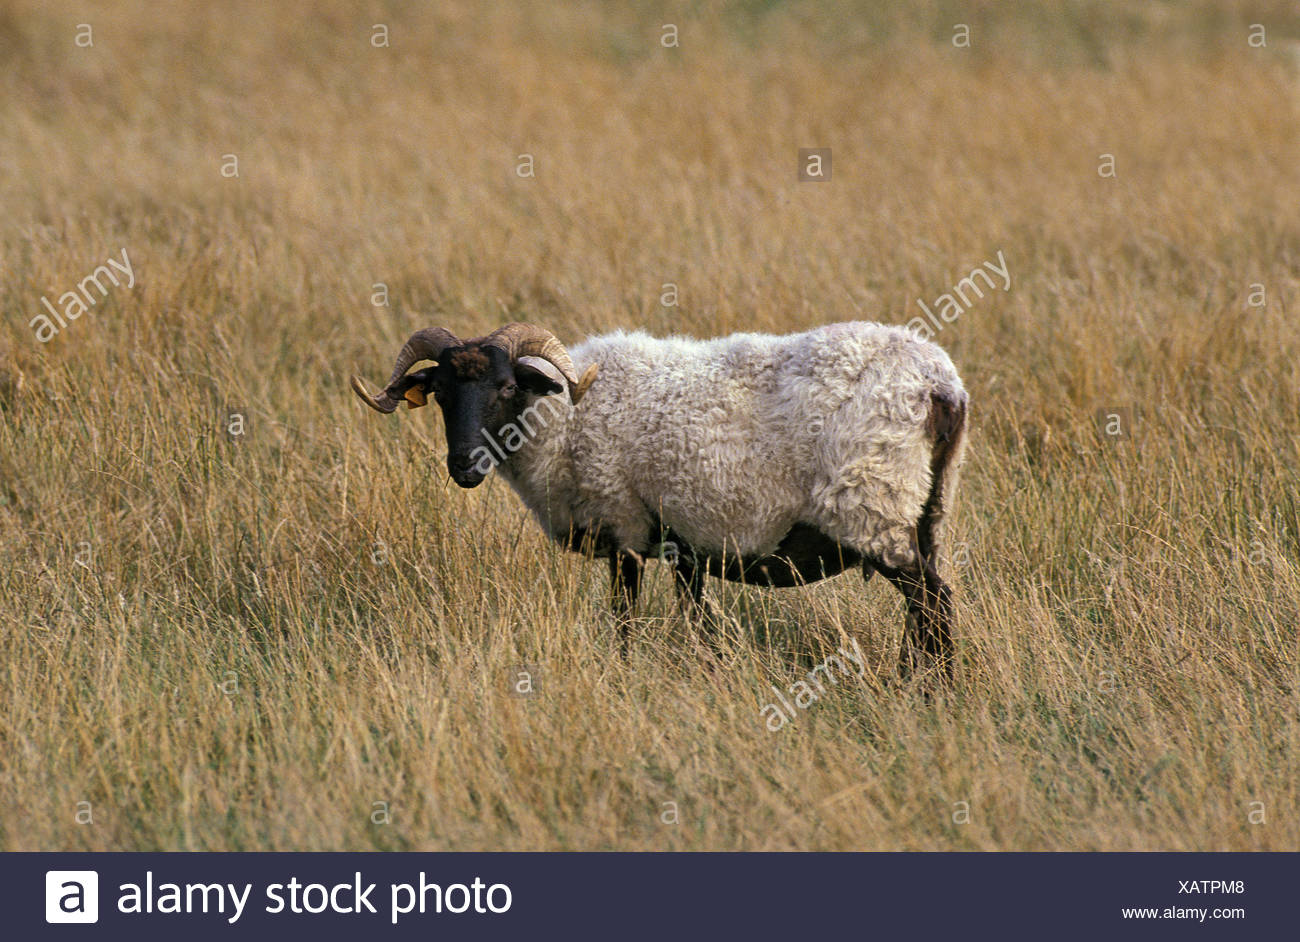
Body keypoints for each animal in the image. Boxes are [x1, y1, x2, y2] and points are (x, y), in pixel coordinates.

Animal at [351, 320, 968, 679]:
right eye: (440, 394)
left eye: (506, 388)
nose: (463, 466)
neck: (564, 419)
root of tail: (940, 384)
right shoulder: (683, 544)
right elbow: (697, 620)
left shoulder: (624, 522)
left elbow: (624, 617)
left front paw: (624, 675)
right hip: (927, 508)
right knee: (925, 605)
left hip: (874, 505)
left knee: (932, 601)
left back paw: (928, 690)